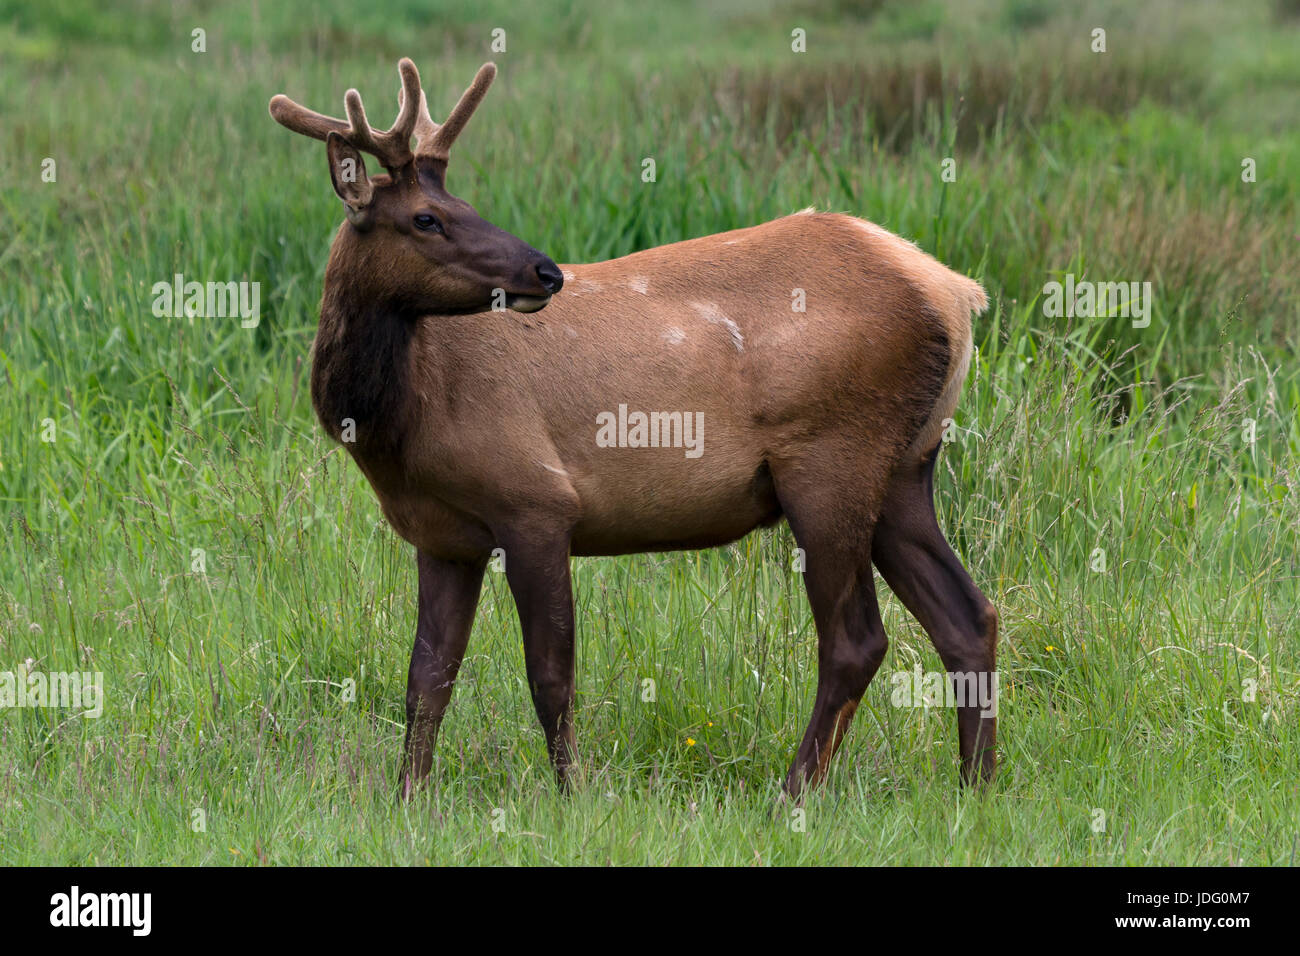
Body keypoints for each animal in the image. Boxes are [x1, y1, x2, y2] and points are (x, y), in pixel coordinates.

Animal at [268, 58, 998, 800]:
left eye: (461, 208)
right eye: (427, 217)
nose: (545, 270)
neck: (405, 418)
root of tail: (954, 294)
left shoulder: (535, 499)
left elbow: (550, 676)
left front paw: (573, 795)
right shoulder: (443, 537)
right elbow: (426, 680)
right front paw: (409, 798)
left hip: (830, 457)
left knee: (856, 639)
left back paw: (795, 790)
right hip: (907, 464)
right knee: (968, 616)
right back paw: (976, 784)